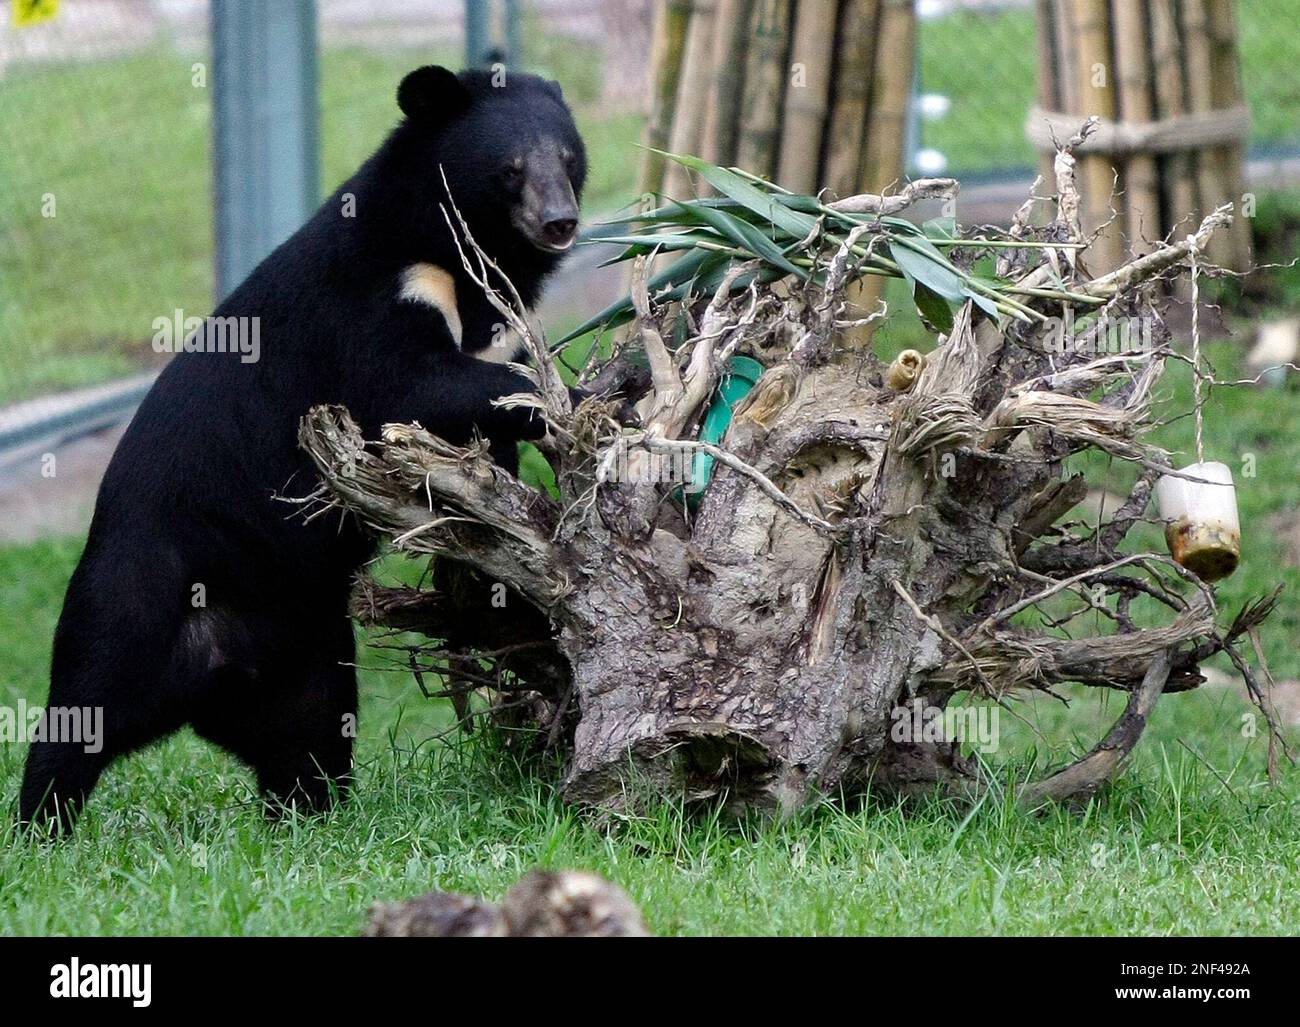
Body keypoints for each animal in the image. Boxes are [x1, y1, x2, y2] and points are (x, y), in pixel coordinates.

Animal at [19, 65, 593, 833]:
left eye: (568, 158)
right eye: (510, 169)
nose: (560, 221)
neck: (456, 253)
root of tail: (208, 675)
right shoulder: (371, 294)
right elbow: (406, 385)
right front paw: (585, 399)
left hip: (309, 645)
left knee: (310, 734)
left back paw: (309, 811)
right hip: (135, 590)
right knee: (85, 707)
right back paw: (41, 824)